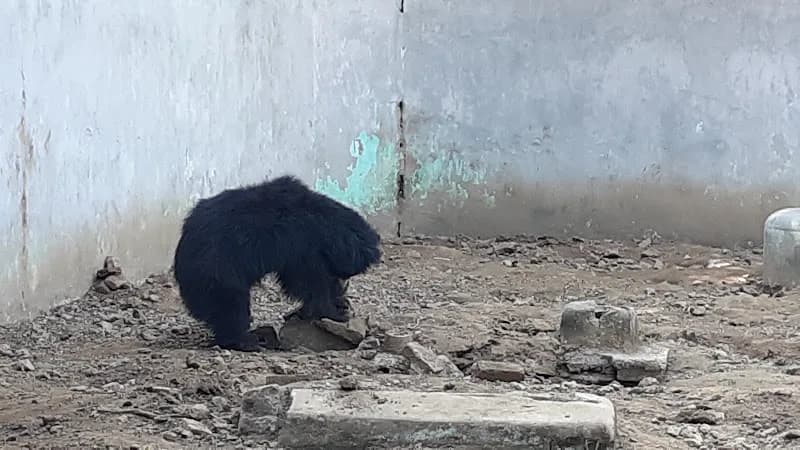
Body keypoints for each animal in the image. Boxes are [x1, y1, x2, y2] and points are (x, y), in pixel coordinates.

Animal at [172, 174, 382, 352]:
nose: (345, 281)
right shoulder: (298, 242)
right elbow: (307, 280)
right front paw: (333, 311)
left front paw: (340, 303)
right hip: (218, 270)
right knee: (231, 305)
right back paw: (247, 341)